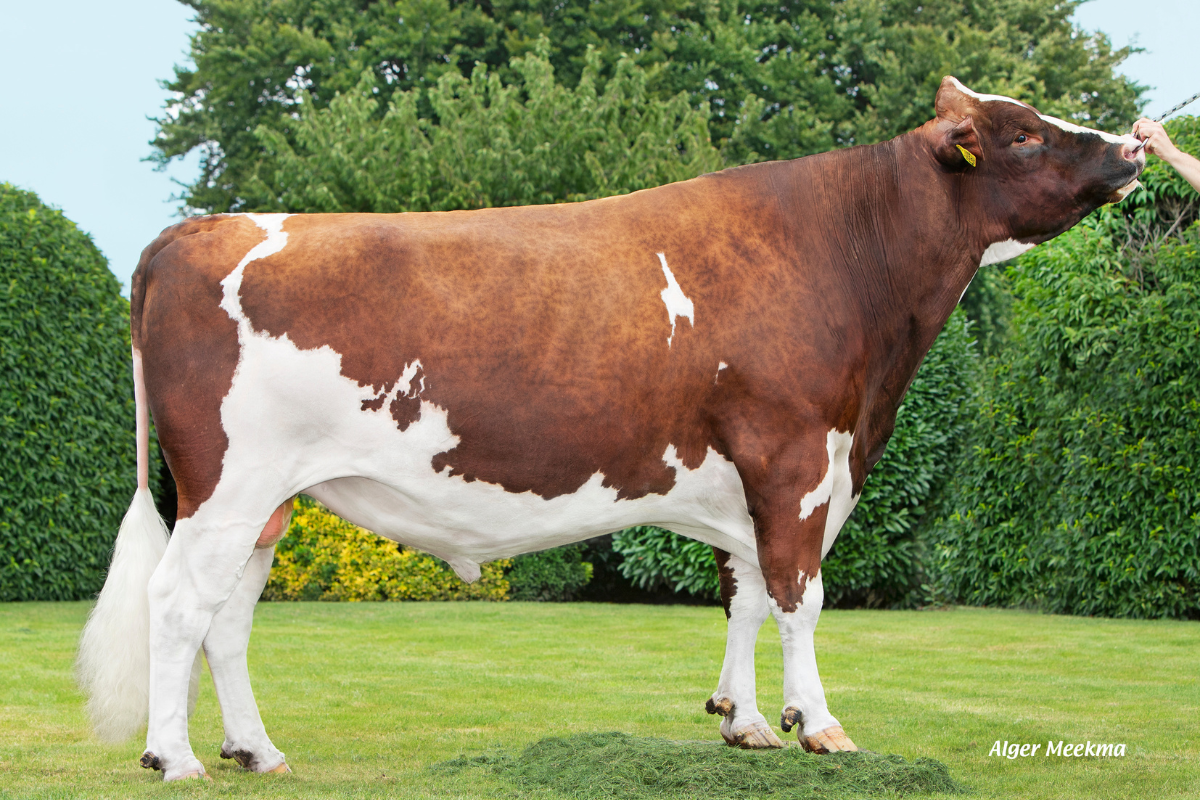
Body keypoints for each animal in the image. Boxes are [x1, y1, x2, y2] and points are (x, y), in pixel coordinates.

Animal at [76, 77, 1144, 780]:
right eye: (1024, 134)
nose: (1133, 147)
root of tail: (197, 227)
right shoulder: (797, 455)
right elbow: (798, 596)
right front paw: (822, 726)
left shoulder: (750, 472)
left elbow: (744, 595)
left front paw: (745, 722)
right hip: (226, 486)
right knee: (178, 603)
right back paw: (173, 757)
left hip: (268, 504)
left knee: (228, 620)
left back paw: (255, 748)